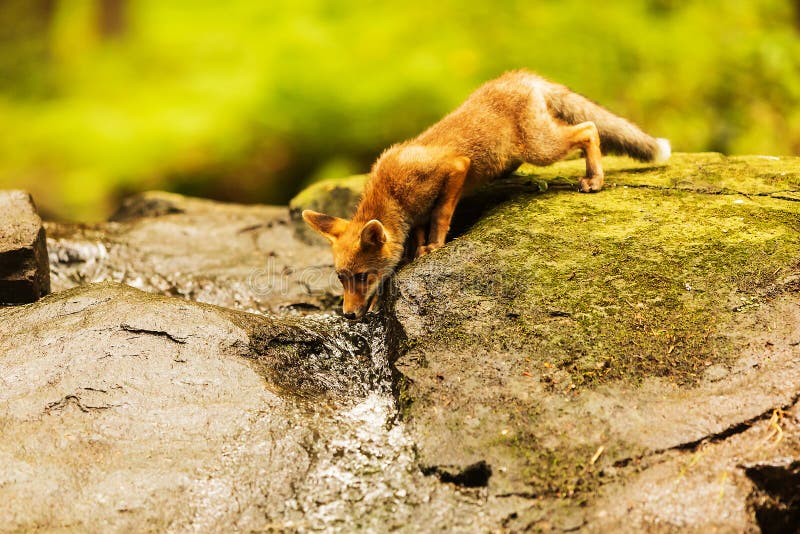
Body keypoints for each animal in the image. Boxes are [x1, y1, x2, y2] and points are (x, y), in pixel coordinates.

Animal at [303, 69, 670, 320]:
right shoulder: (416, 212)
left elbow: (441, 215)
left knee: (590, 129)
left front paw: (435, 247)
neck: (393, 192)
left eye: (363, 277)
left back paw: (594, 178)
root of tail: (520, 76)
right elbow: (417, 232)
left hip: (541, 148)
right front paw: (415, 253)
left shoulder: (455, 167)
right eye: (341, 279)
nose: (348, 315)